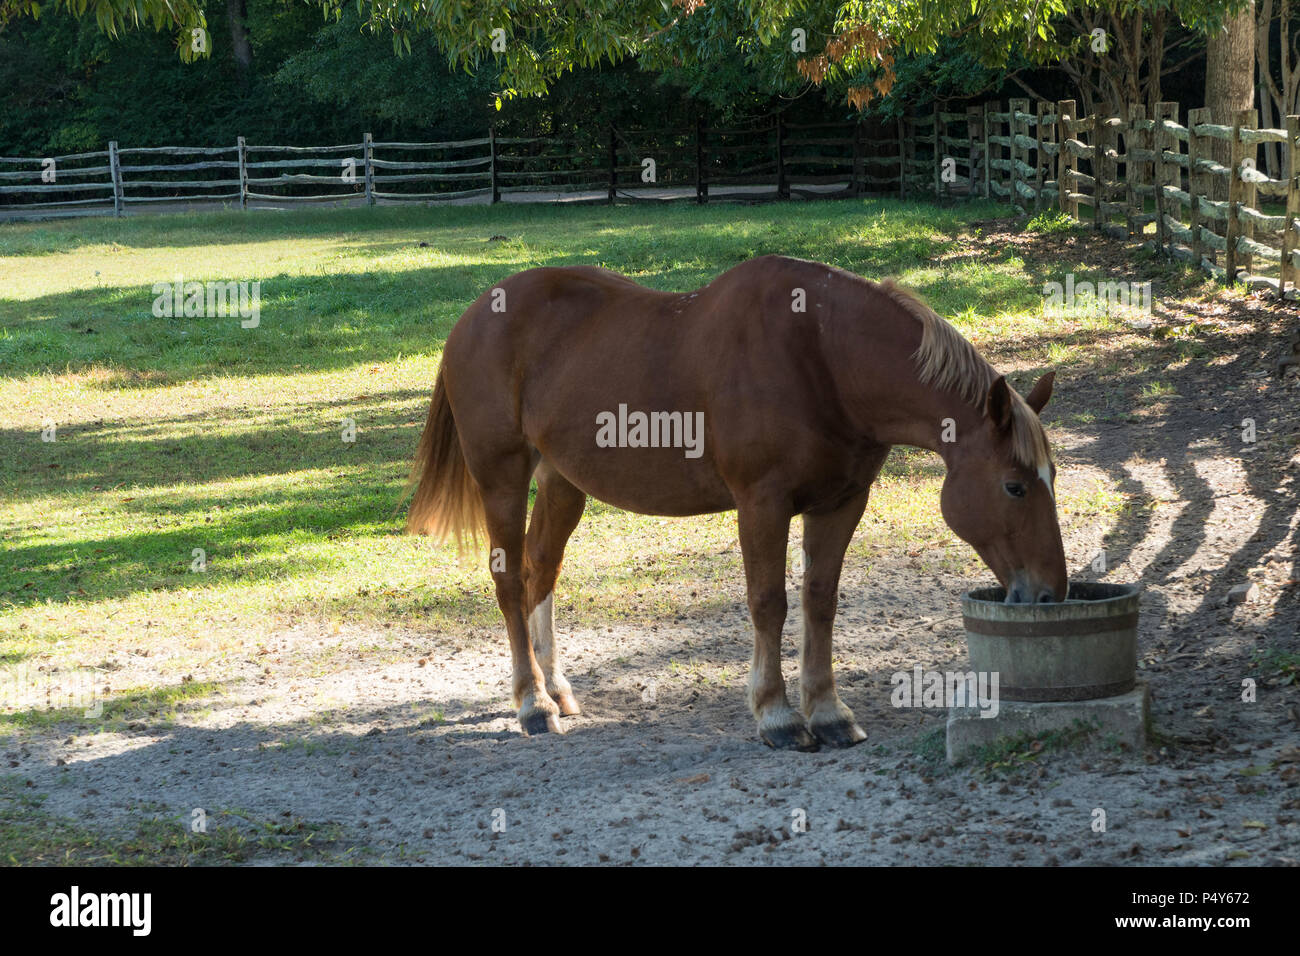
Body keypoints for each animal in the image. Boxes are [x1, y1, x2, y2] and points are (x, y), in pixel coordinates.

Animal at [406, 255, 1067, 751]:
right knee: (509, 582)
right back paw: (531, 702)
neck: (821, 357)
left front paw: (829, 713)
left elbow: (820, 602)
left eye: (1050, 477)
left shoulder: (841, 503)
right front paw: (777, 715)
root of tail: (477, 314)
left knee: (540, 572)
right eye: (1014, 485)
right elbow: (769, 603)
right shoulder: (762, 505)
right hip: (502, 480)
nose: (1050, 593)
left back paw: (557, 689)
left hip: (563, 483)